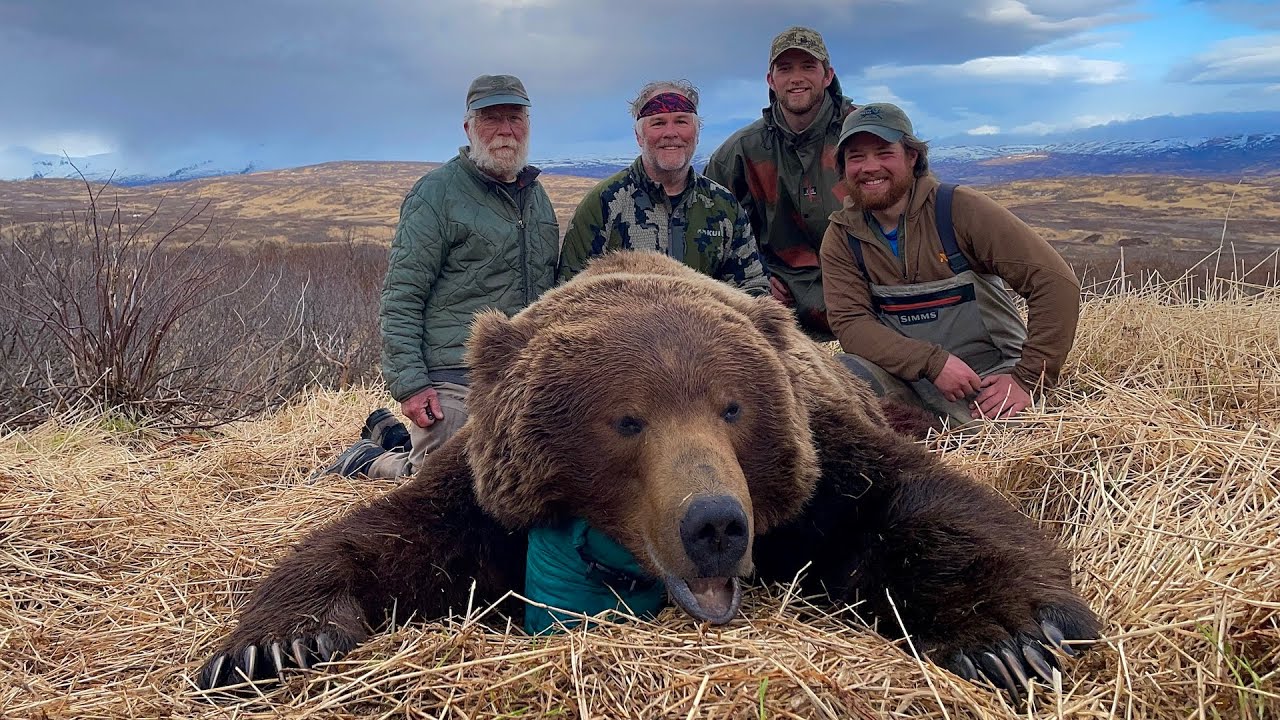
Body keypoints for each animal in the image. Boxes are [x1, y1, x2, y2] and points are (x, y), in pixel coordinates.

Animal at [195, 251, 1099, 700]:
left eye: (733, 408)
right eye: (625, 420)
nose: (717, 523)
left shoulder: (827, 464)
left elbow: (919, 506)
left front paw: (1013, 641)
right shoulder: (480, 500)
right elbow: (382, 542)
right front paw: (271, 646)